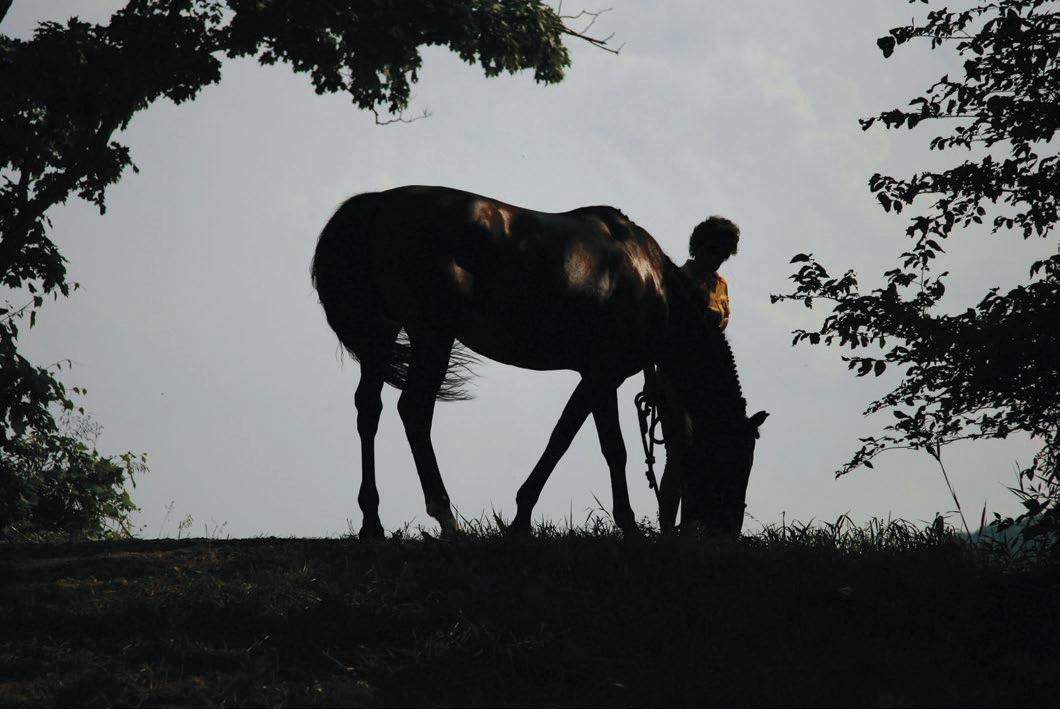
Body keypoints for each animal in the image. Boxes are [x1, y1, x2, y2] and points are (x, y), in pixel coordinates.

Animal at [311, 185, 767, 537]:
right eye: (735, 457)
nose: (727, 531)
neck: (654, 283)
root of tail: (379, 205)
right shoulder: (603, 374)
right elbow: (592, 444)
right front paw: (620, 525)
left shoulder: (597, 376)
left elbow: (577, 439)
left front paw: (526, 519)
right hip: (432, 336)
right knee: (415, 410)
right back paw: (447, 518)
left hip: (382, 334)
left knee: (369, 409)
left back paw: (372, 523)